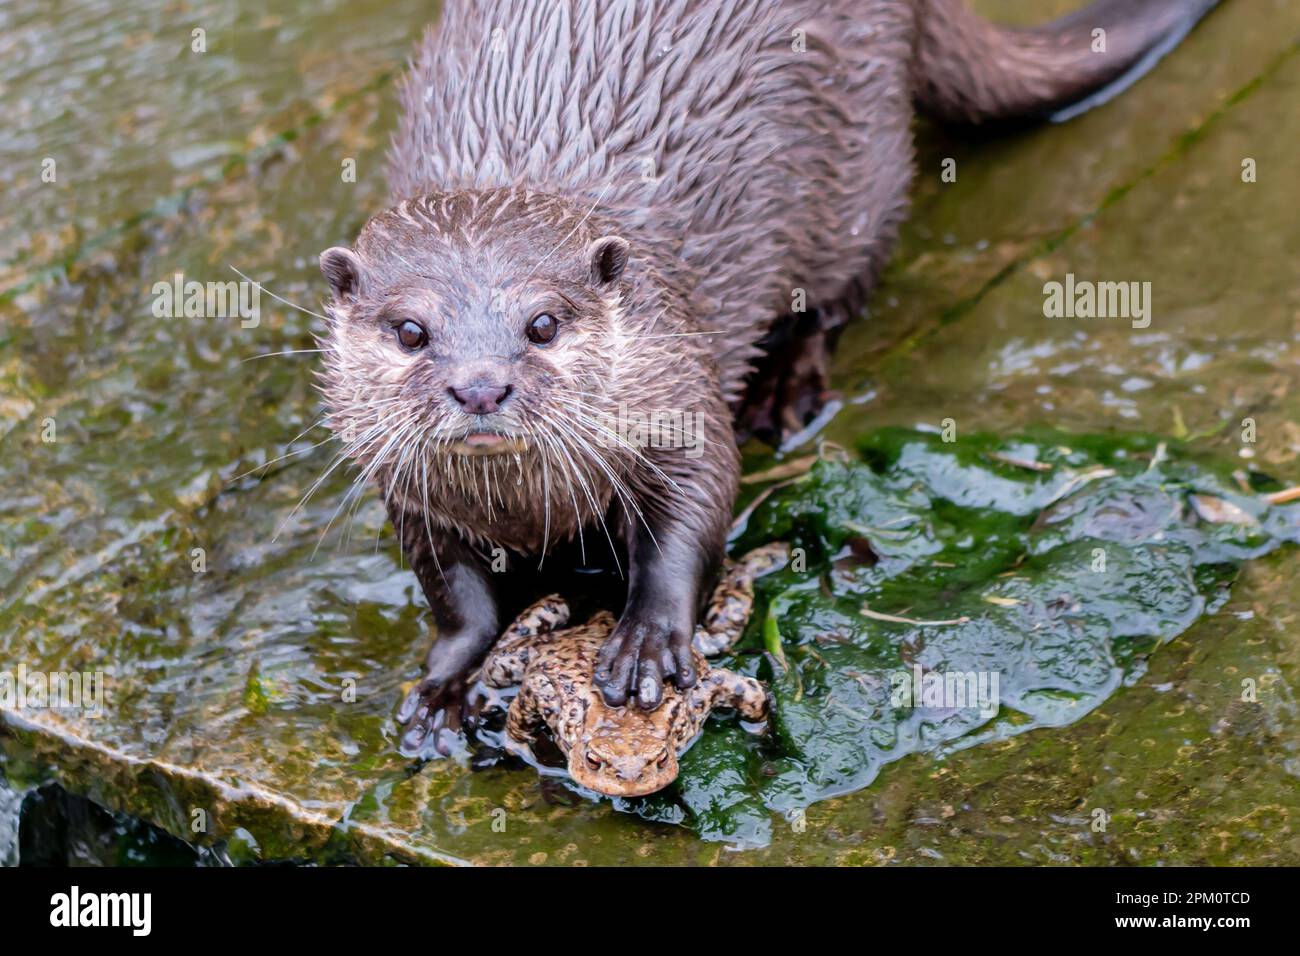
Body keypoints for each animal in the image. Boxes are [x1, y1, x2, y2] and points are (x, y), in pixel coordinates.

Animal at [317, 0, 1219, 756]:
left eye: (543, 323)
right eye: (410, 331)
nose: (480, 387)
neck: (526, 506)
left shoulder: (679, 397)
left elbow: (697, 511)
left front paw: (646, 642)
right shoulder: (409, 494)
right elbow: (455, 597)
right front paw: (445, 686)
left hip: (855, 159)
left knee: (843, 280)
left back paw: (788, 392)